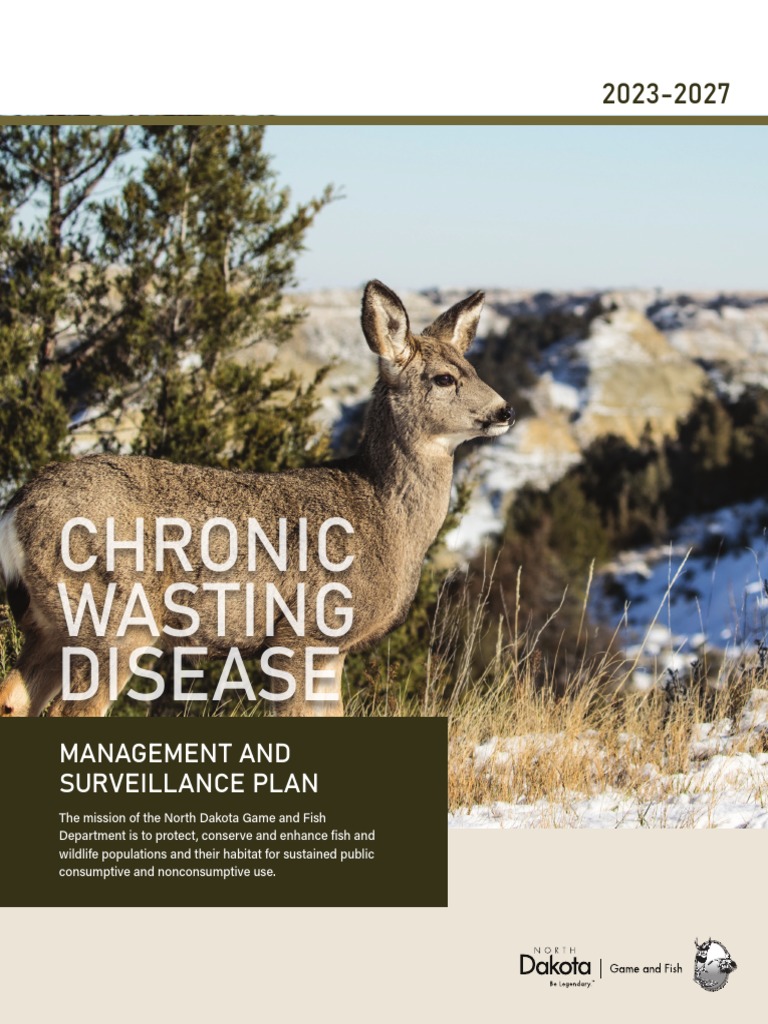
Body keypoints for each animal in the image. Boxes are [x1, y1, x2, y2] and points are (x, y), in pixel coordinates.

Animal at [0, 281, 513, 718]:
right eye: (444, 378)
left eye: (473, 369)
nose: (505, 410)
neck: (383, 515)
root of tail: (16, 508)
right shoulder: (300, 633)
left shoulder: (333, 651)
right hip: (111, 617)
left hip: (47, 624)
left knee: (14, 700)